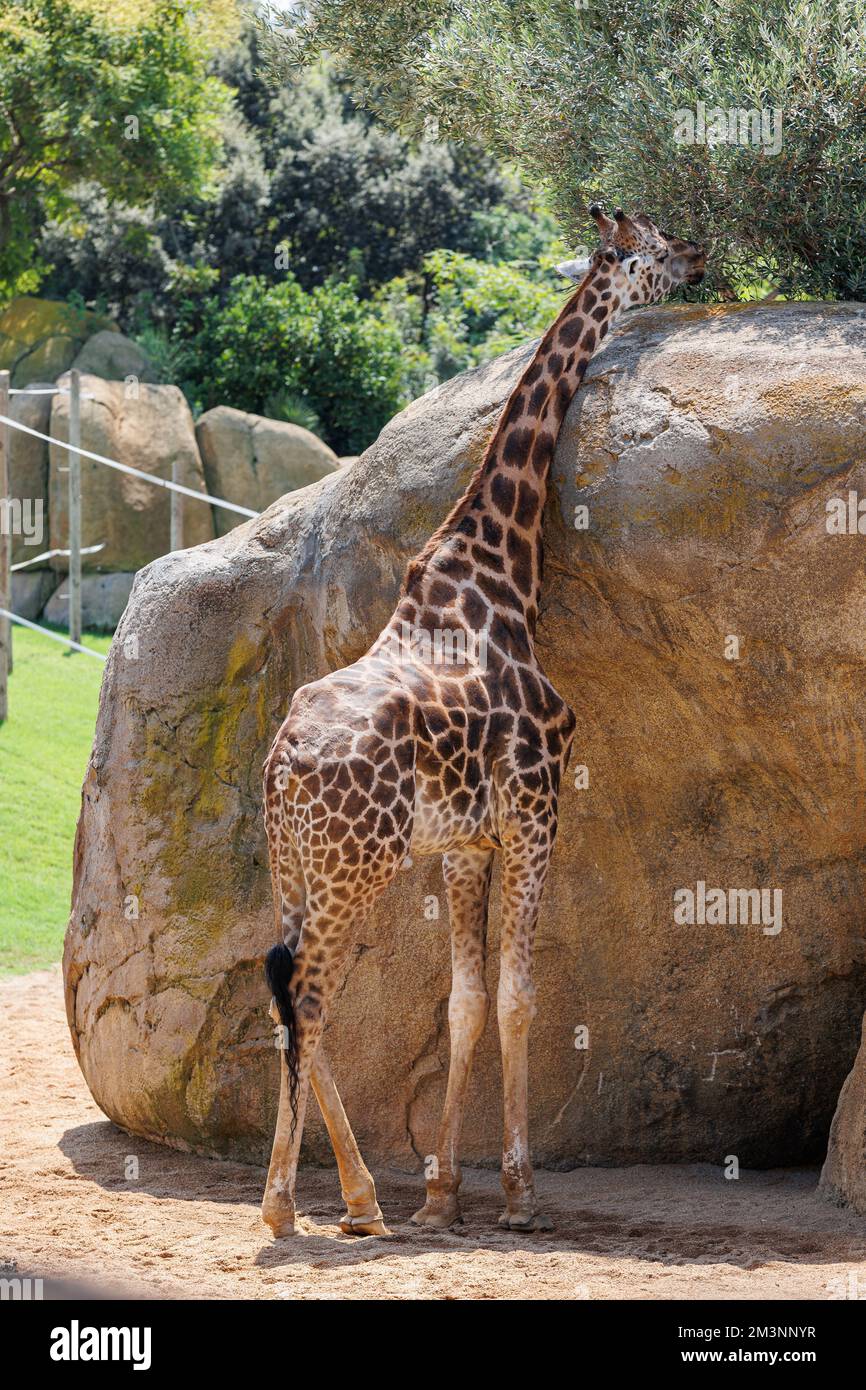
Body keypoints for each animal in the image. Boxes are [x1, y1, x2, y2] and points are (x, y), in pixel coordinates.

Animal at [260, 205, 705, 1238]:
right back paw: (288, 1207)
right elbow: (519, 996)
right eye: (654, 248)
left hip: (292, 868)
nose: (704, 256)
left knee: (290, 1005)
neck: (501, 573)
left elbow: (464, 1001)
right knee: (310, 999)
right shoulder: (537, 806)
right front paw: (518, 1193)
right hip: (356, 866)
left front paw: (440, 1194)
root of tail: (286, 766)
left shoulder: (464, 843)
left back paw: (351, 1200)